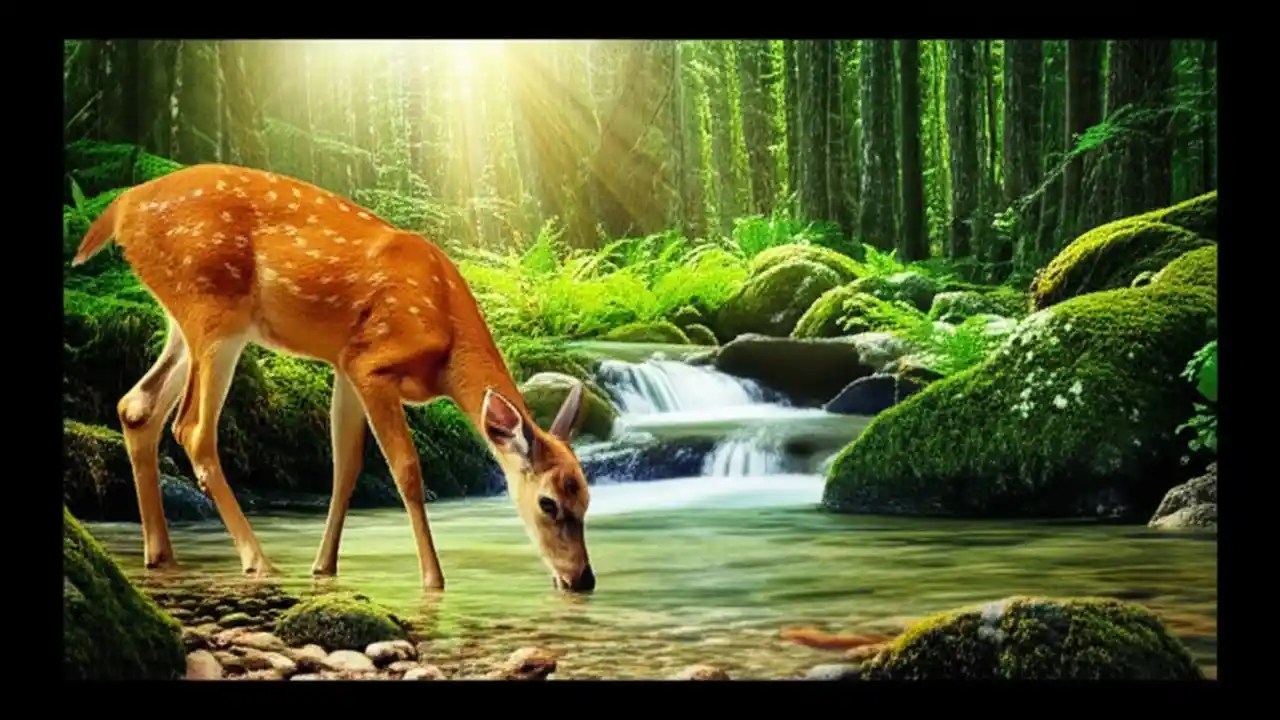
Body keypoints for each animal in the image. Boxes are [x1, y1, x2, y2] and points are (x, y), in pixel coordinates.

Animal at [70, 163, 596, 593]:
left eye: (587, 499)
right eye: (549, 503)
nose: (583, 579)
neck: (447, 345)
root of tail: (121, 206)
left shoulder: (346, 365)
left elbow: (346, 466)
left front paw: (324, 567)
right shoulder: (374, 363)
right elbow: (406, 471)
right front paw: (433, 579)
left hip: (184, 319)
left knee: (137, 407)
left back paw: (160, 554)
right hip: (214, 310)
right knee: (193, 429)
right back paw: (256, 560)